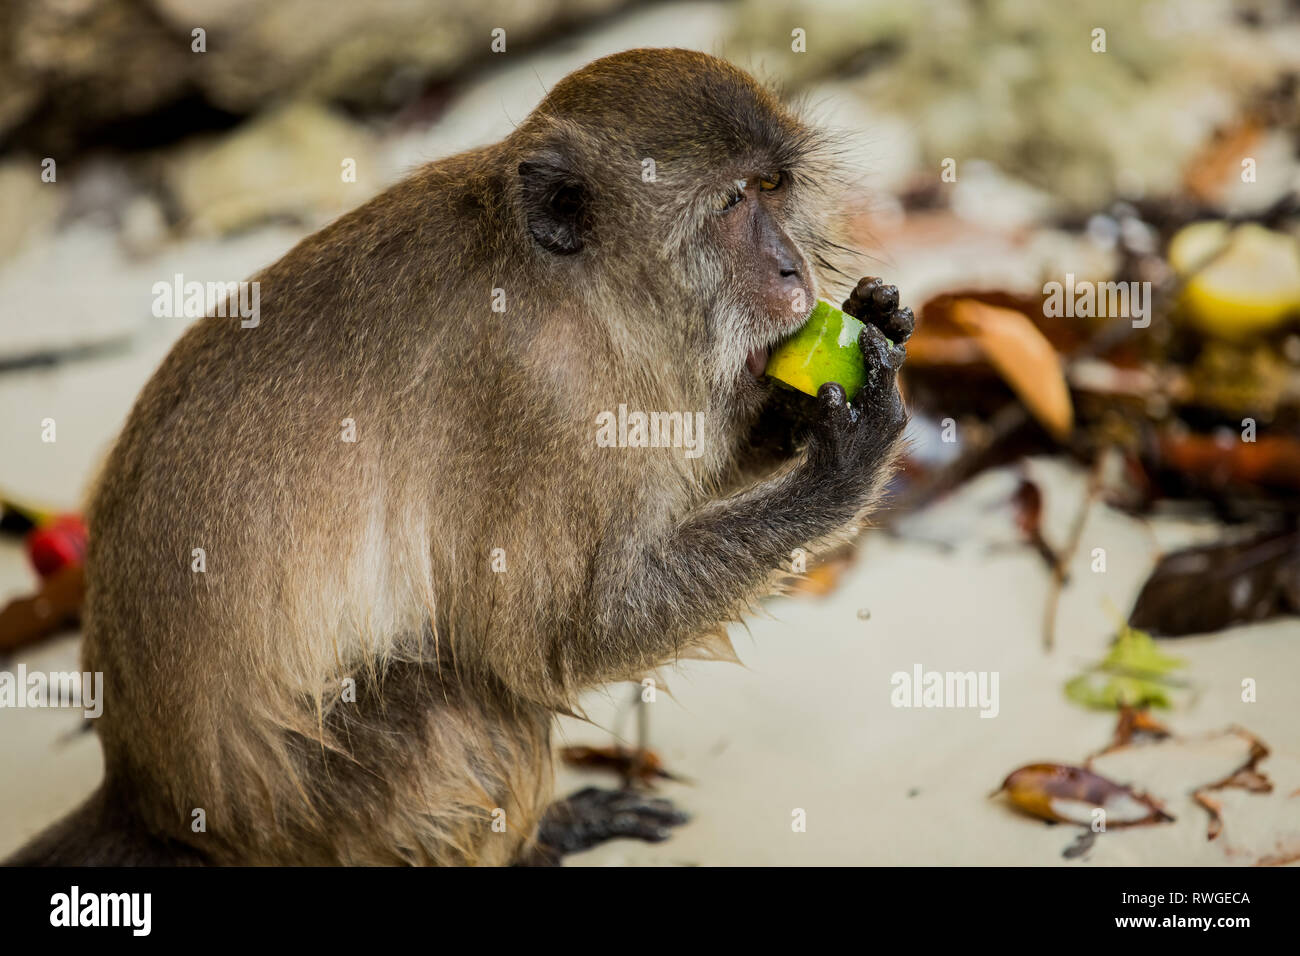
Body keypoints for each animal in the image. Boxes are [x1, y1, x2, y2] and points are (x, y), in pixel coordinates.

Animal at [5, 48, 913, 866]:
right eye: (730, 203)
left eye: (773, 190)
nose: (792, 268)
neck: (570, 284)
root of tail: (147, 799)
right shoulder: (533, 393)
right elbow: (555, 642)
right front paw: (840, 469)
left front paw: (836, 370)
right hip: (313, 817)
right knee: (461, 700)